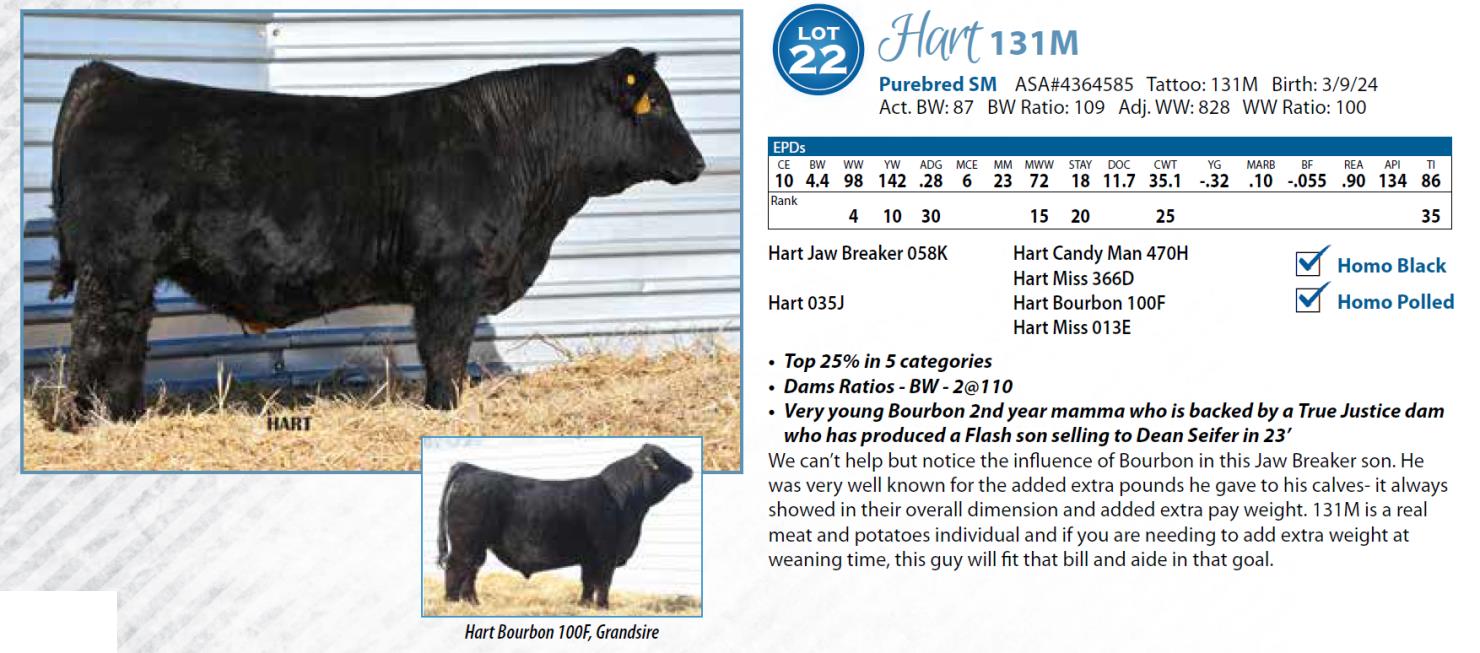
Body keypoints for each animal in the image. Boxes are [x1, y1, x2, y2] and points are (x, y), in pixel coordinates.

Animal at [47, 48, 705, 426]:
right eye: (654, 104)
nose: (699, 162)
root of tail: (111, 79)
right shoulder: (451, 280)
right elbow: (445, 352)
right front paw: (444, 411)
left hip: (130, 271)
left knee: (128, 338)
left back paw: (125, 417)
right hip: (116, 264)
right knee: (95, 339)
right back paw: (85, 421)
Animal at [436, 444, 694, 609]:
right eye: (667, 458)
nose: (690, 469)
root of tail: (470, 468)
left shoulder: (590, 557)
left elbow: (588, 582)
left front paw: (584, 605)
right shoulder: (606, 553)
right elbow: (603, 581)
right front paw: (603, 607)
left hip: (477, 546)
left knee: (471, 571)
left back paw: (473, 603)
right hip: (465, 543)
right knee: (456, 568)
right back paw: (451, 602)